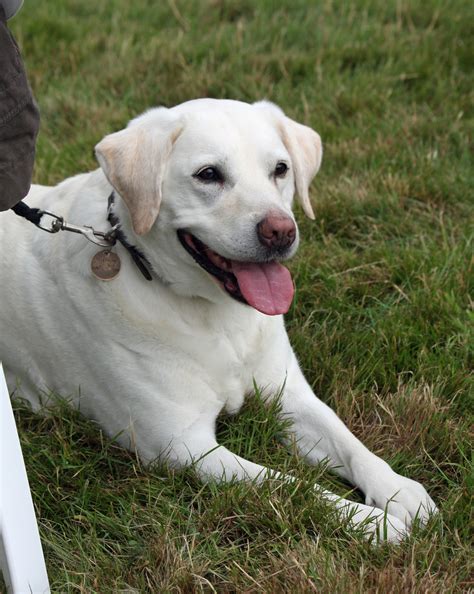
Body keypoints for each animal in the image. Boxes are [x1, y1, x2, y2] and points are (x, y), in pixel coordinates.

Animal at [0, 99, 436, 540]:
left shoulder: (289, 395)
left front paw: (397, 490)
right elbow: (291, 486)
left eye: (280, 169)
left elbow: (348, 440)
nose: (281, 231)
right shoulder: (182, 446)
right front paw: (372, 522)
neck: (217, 316)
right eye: (208, 174)